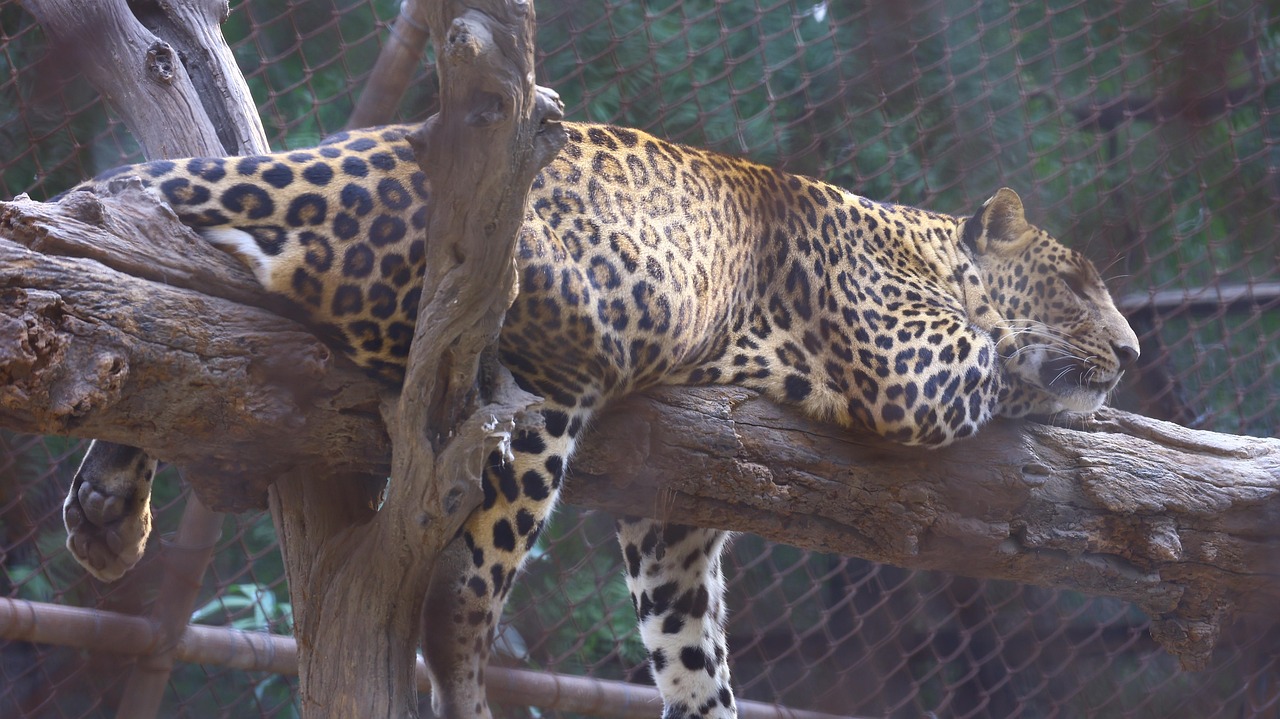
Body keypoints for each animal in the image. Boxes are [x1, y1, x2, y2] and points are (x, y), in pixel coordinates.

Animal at [60, 121, 1139, 718]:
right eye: (1081, 283)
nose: (1131, 352)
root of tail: (308, 162)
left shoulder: (674, 530)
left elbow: (692, 653)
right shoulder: (912, 364)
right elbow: (1002, 357)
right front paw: (1071, 382)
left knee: (177, 326)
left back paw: (107, 508)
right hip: (544, 370)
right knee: (460, 580)